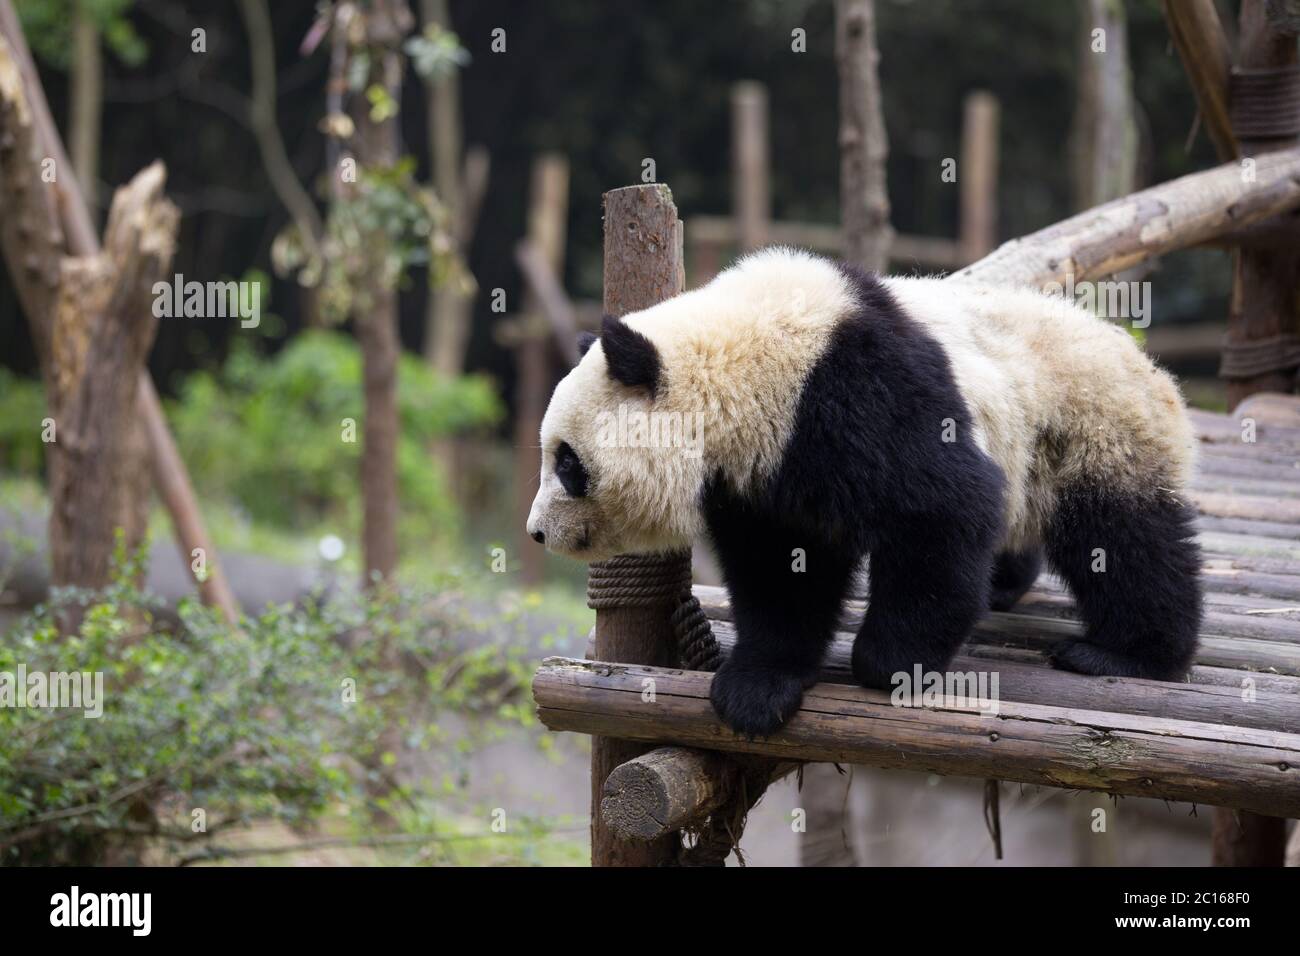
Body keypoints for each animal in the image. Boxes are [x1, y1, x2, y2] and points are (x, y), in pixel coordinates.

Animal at [527, 246, 1202, 737]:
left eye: (568, 463)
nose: (536, 532)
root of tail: (1144, 360)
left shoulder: (856, 388)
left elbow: (943, 507)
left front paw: (890, 663)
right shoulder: (764, 470)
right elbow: (782, 569)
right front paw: (757, 687)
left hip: (1092, 426)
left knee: (1124, 540)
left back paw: (1127, 655)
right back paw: (1005, 585)